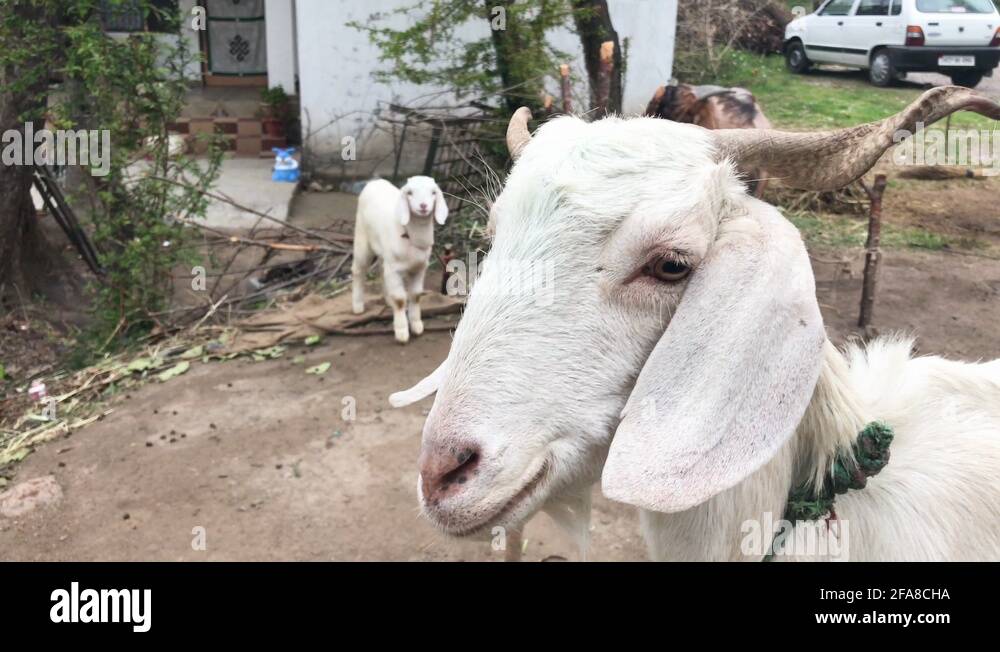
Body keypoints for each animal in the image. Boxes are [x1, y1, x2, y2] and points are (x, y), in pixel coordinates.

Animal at [352, 176, 448, 344]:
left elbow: (415, 295)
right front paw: (402, 331)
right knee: (358, 270)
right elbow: (400, 299)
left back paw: (387, 300)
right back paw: (357, 305)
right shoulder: (395, 269)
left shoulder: (419, 268)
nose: (423, 206)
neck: (411, 234)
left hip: (385, 254)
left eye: (433, 192)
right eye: (409, 193)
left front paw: (416, 324)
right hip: (362, 238)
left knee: (382, 270)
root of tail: (375, 181)